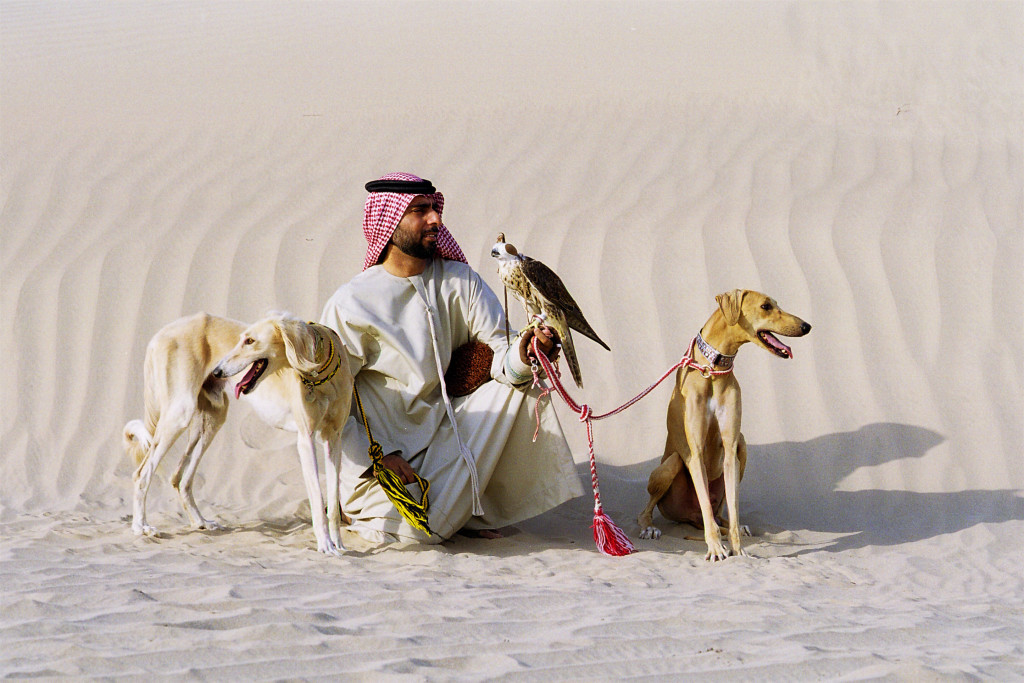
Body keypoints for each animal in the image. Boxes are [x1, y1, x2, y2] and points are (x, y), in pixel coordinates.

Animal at [124, 313, 352, 552]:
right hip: (180, 413)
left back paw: (201, 522)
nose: (217, 371)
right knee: (142, 474)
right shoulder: (305, 439)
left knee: (181, 479)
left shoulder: (334, 439)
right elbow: (317, 497)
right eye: (242, 339)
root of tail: (159, 334)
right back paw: (141, 527)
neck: (321, 372)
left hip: (213, 418)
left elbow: (333, 503)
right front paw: (325, 544)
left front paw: (338, 545)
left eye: (250, 341)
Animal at [634, 288, 811, 561]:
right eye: (765, 306)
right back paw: (649, 528)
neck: (713, 369)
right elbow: (706, 504)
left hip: (742, 449)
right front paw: (716, 548)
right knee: (653, 510)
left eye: (776, 304)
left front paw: (738, 549)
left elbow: (733, 509)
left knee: (721, 514)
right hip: (670, 465)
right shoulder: (694, 453)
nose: (806, 326)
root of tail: (690, 517)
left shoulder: (730, 449)